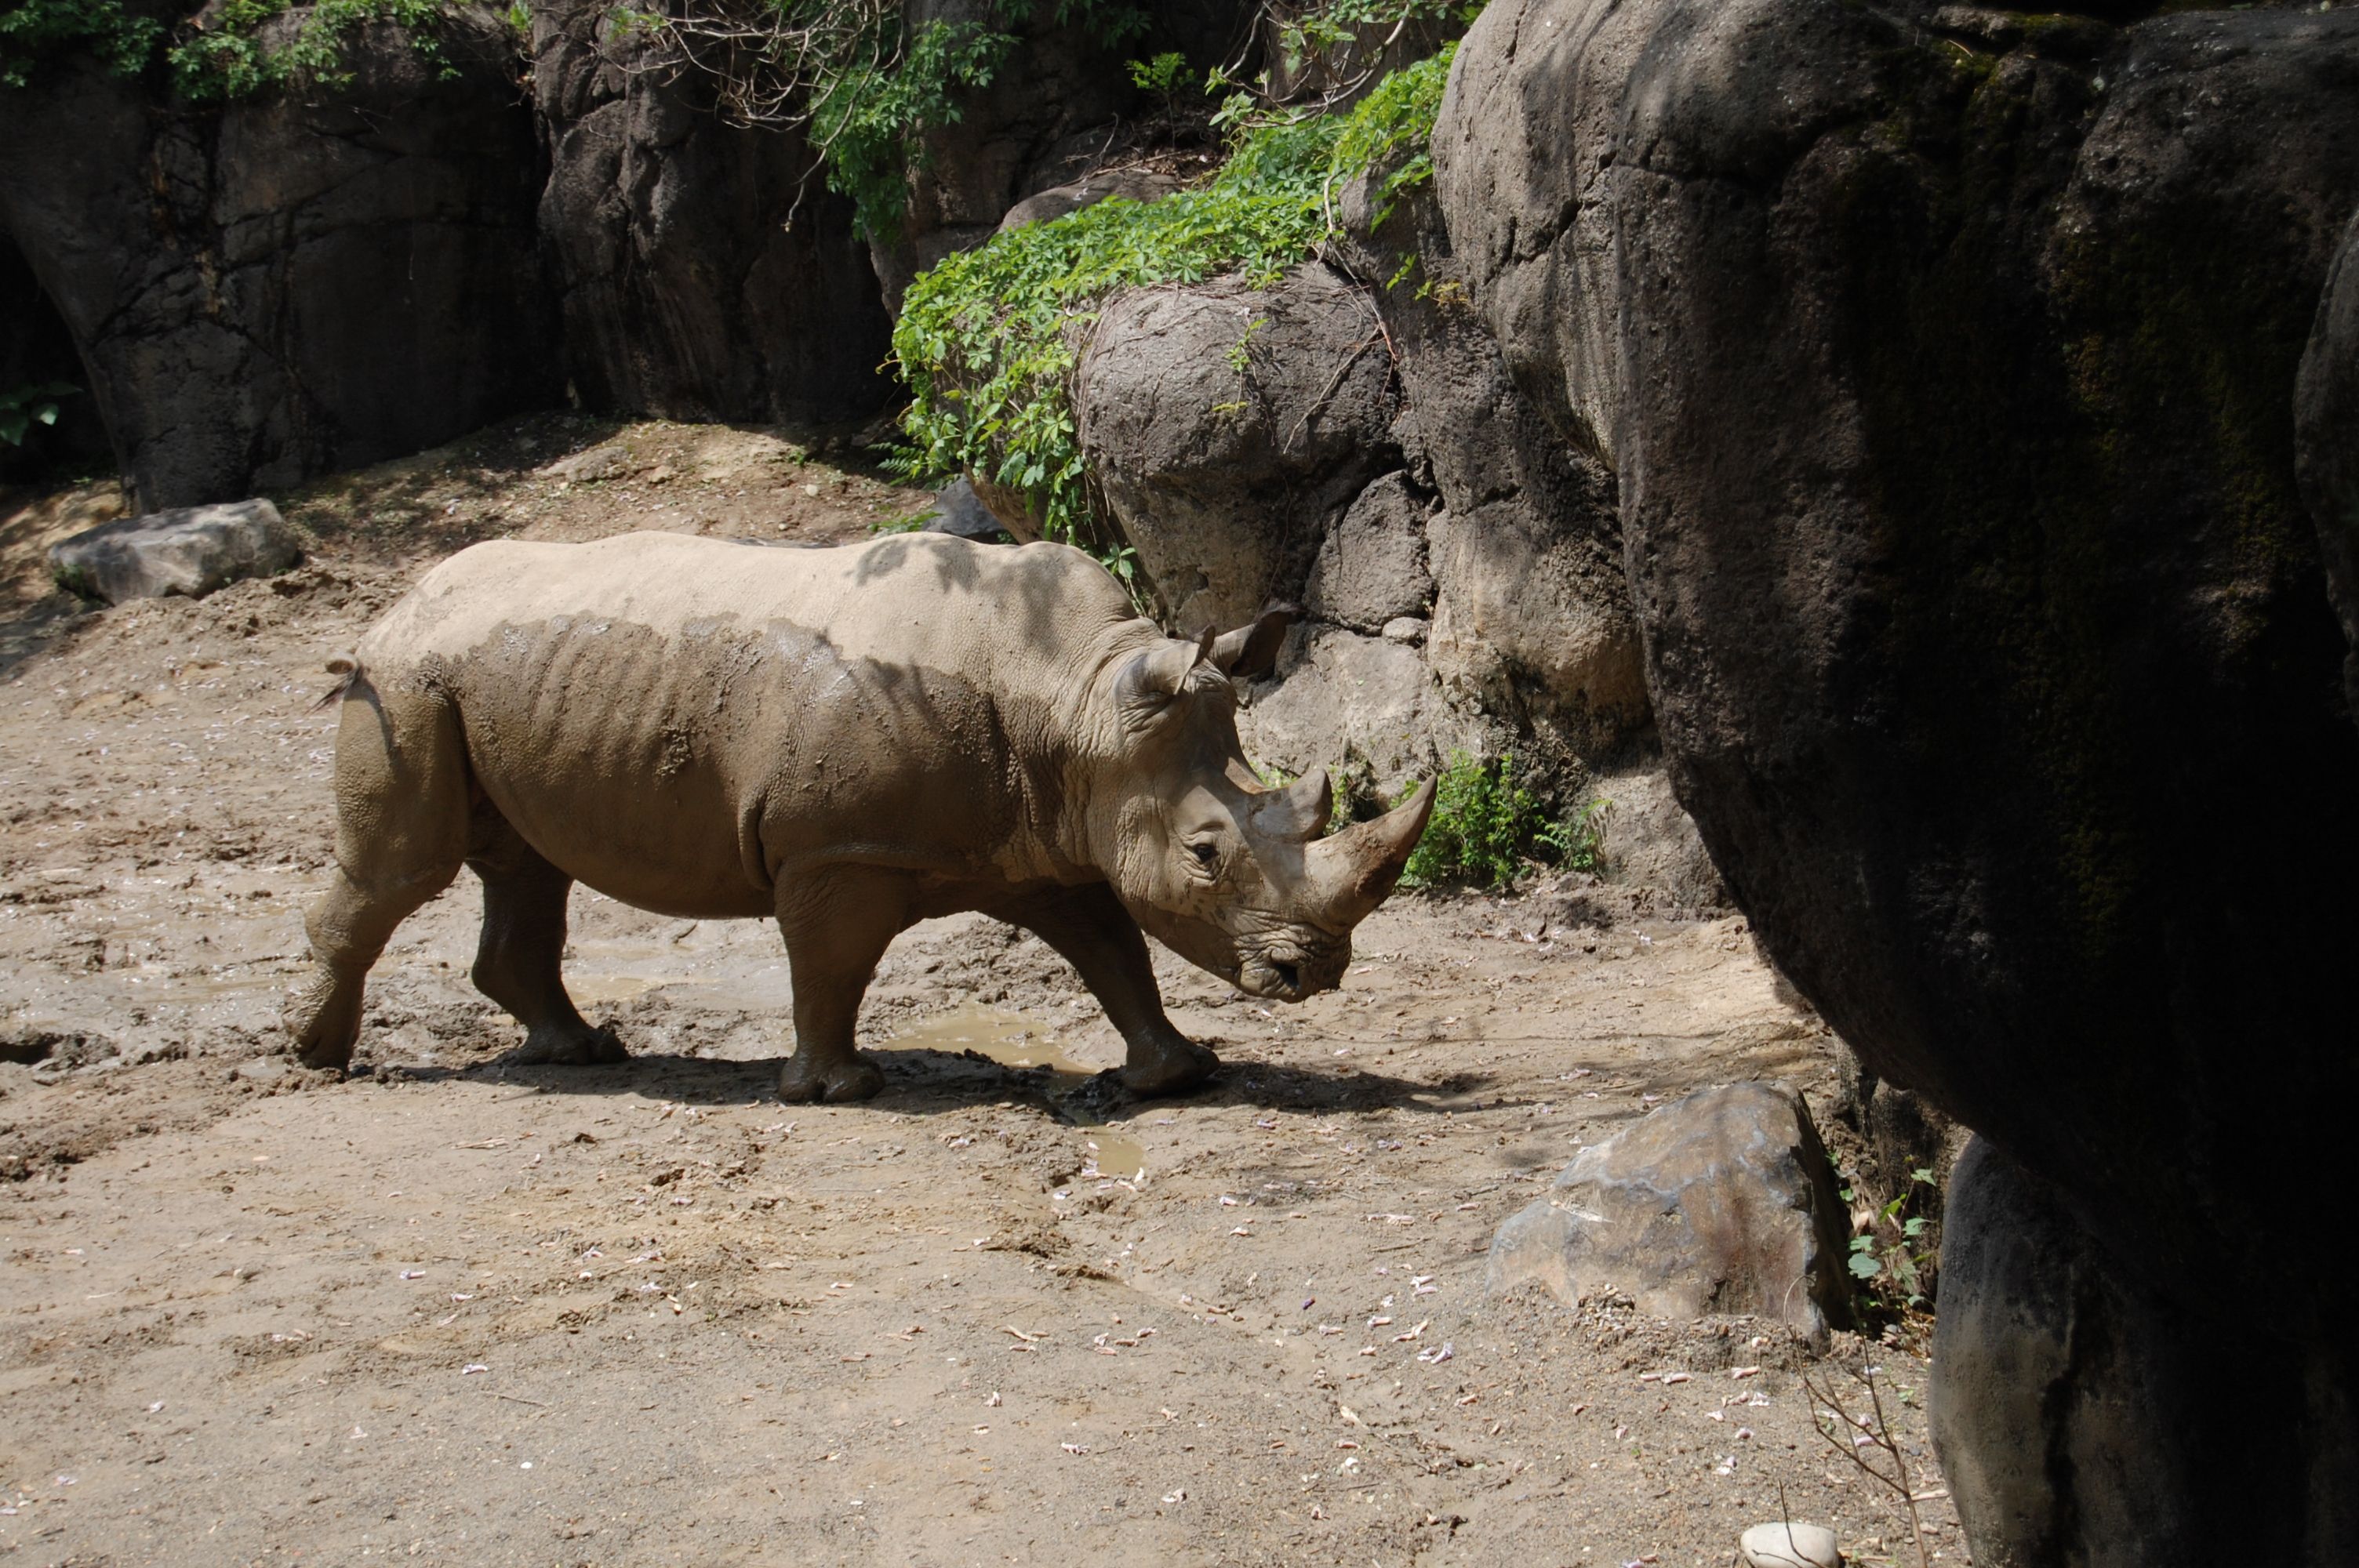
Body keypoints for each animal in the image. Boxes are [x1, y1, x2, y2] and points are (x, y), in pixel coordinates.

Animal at [285, 530, 1433, 1101]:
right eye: (1205, 852)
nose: (1315, 973)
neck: (1074, 701)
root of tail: (397, 600)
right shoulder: (834, 848)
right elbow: (833, 963)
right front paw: (838, 1089)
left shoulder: (1054, 836)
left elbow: (1113, 950)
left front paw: (1177, 1074)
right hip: (404, 684)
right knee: (410, 870)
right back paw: (317, 1060)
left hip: (487, 679)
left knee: (526, 865)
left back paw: (580, 1054)